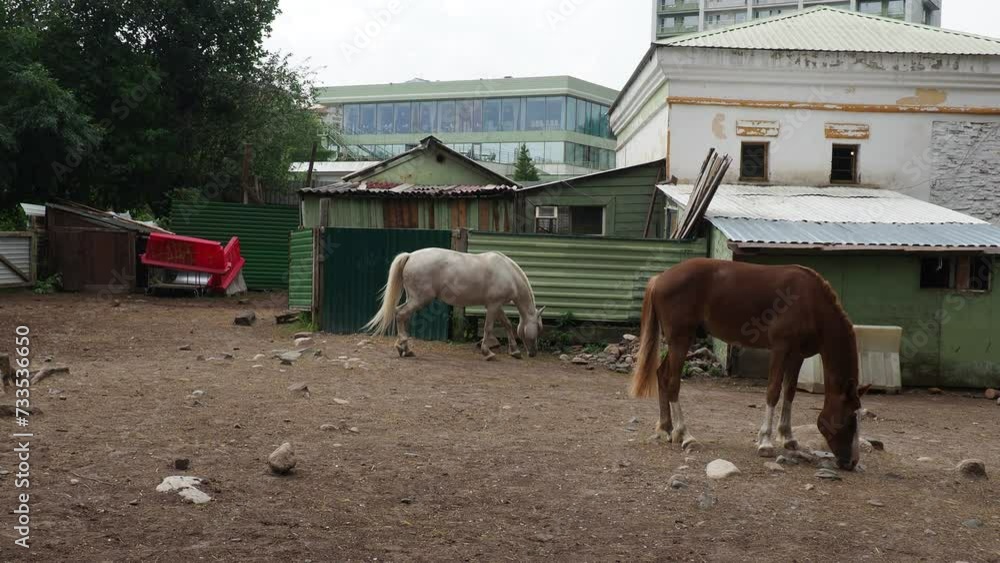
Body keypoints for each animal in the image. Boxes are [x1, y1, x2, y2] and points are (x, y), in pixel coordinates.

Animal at [364, 248, 545, 360]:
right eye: (539, 328)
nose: (534, 353)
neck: (508, 272)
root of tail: (410, 256)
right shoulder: (493, 305)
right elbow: (488, 328)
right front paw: (487, 353)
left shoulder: (495, 306)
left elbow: (507, 325)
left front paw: (514, 352)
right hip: (419, 299)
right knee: (401, 314)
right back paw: (404, 348)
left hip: (413, 298)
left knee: (402, 315)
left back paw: (405, 349)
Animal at [629, 258, 869, 470]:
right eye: (850, 419)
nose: (853, 462)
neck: (809, 301)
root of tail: (660, 278)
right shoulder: (780, 349)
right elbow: (773, 391)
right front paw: (765, 442)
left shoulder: (797, 355)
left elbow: (789, 392)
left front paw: (788, 437)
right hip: (681, 340)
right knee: (672, 383)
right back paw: (684, 435)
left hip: (678, 342)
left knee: (662, 375)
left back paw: (666, 429)